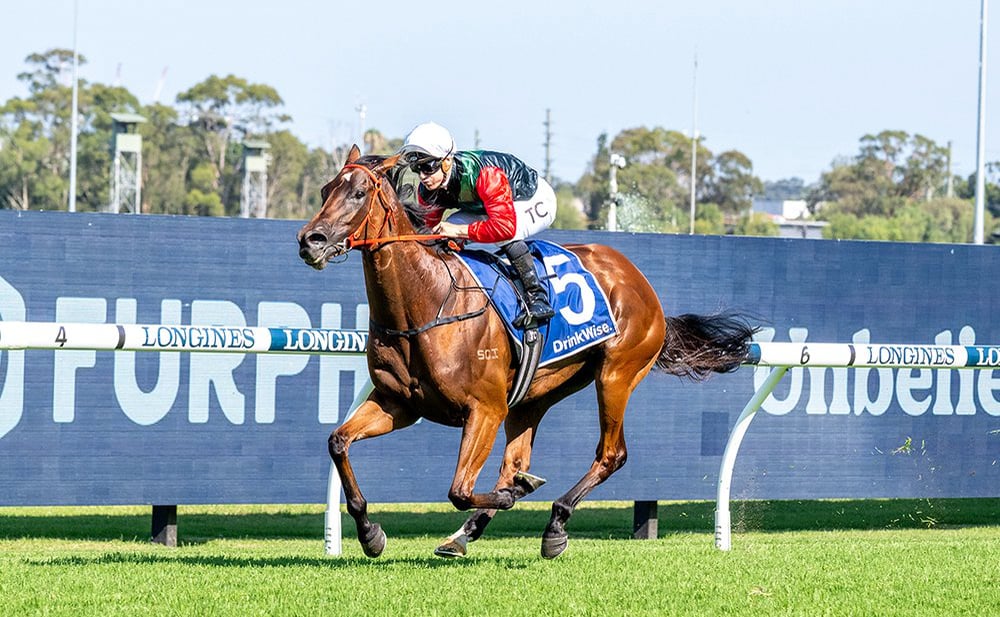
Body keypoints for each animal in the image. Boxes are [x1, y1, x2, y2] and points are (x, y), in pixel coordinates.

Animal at [297, 145, 756, 559]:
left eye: (358, 193)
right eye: (325, 191)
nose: (309, 240)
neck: (427, 301)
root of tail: (639, 281)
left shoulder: (484, 408)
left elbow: (460, 489)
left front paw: (516, 495)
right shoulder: (399, 404)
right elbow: (338, 442)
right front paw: (370, 533)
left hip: (616, 374)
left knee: (610, 455)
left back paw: (554, 525)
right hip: (534, 396)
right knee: (513, 462)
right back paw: (465, 534)